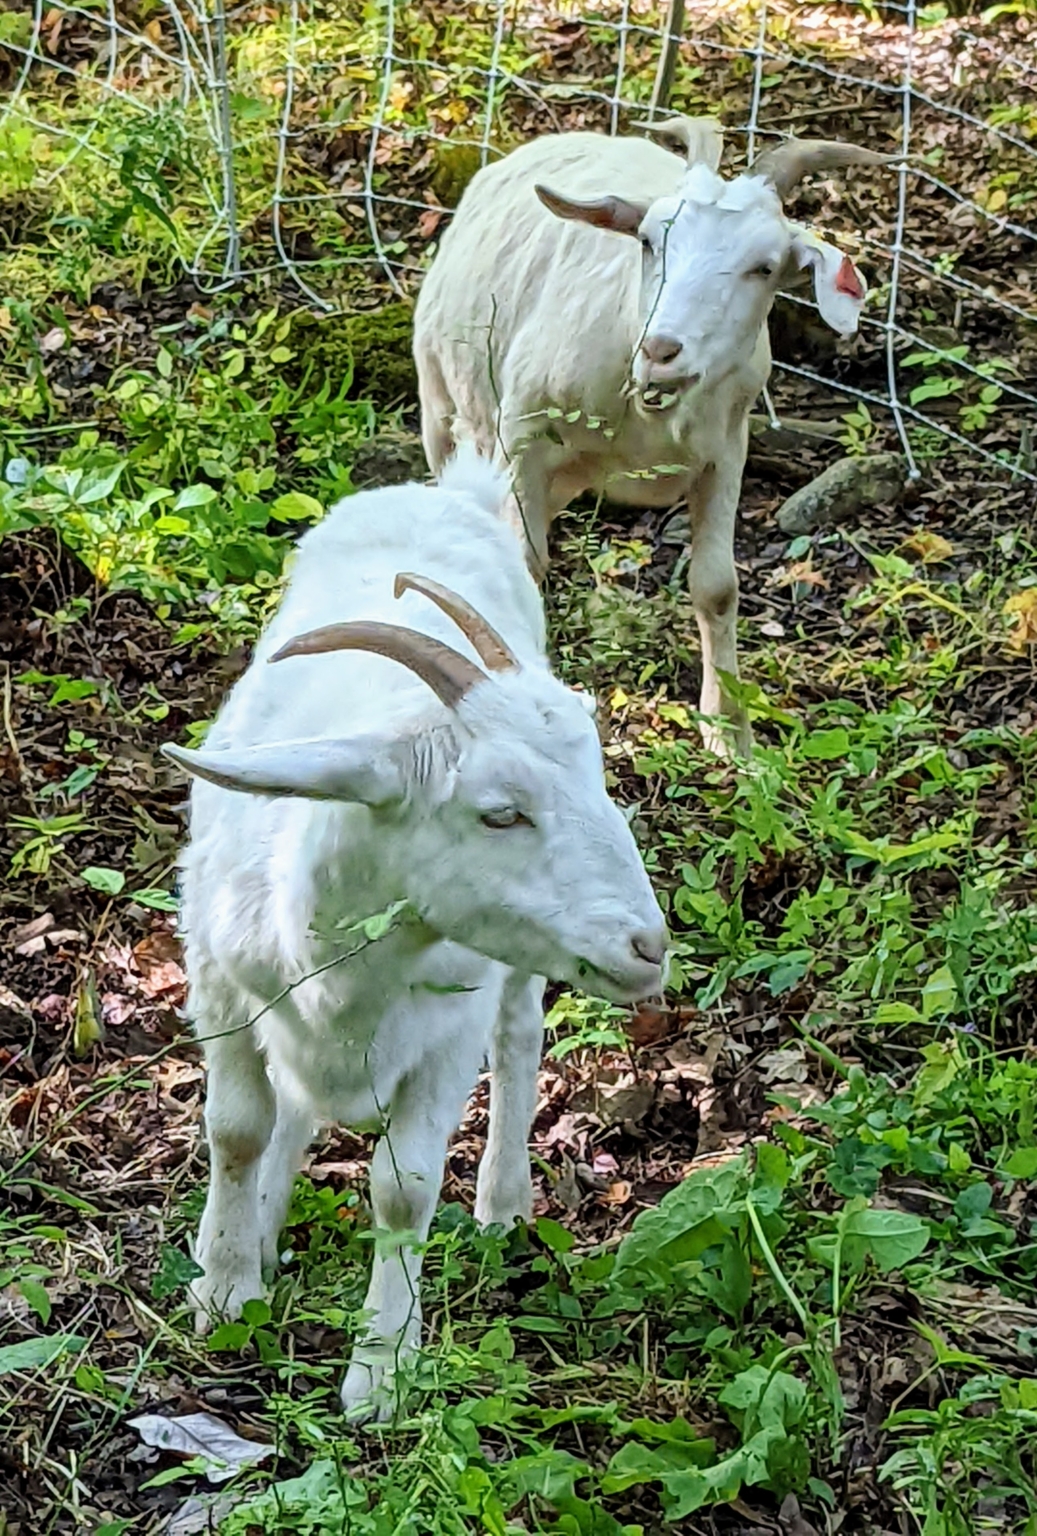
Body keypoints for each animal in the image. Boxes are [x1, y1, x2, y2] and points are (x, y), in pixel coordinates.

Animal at [161, 446, 667, 1421]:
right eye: (500, 813)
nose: (648, 947)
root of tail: (452, 490)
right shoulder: (222, 985)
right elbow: (237, 1128)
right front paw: (227, 1285)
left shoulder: (446, 1029)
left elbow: (404, 1190)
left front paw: (382, 1368)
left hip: (512, 976)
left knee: (519, 1036)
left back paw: (503, 1200)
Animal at [413, 118, 892, 755]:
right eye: (647, 241)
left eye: (765, 266)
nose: (661, 349)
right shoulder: (522, 436)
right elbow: (524, 567)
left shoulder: (726, 453)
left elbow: (716, 586)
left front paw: (729, 733)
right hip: (444, 409)